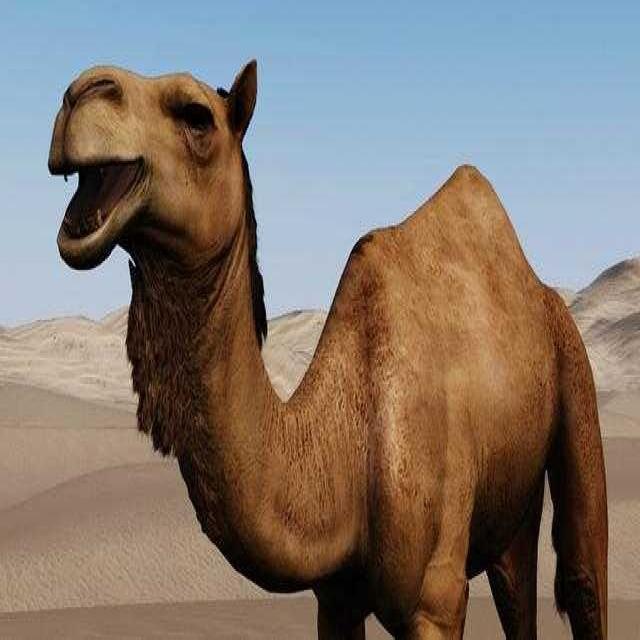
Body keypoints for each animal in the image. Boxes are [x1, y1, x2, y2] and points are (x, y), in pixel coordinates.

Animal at [48, 60, 607, 639]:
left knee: (582, 577)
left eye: (196, 115)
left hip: (574, 365)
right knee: (515, 582)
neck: (345, 443)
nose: (80, 91)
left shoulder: (435, 600)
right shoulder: (335, 597)